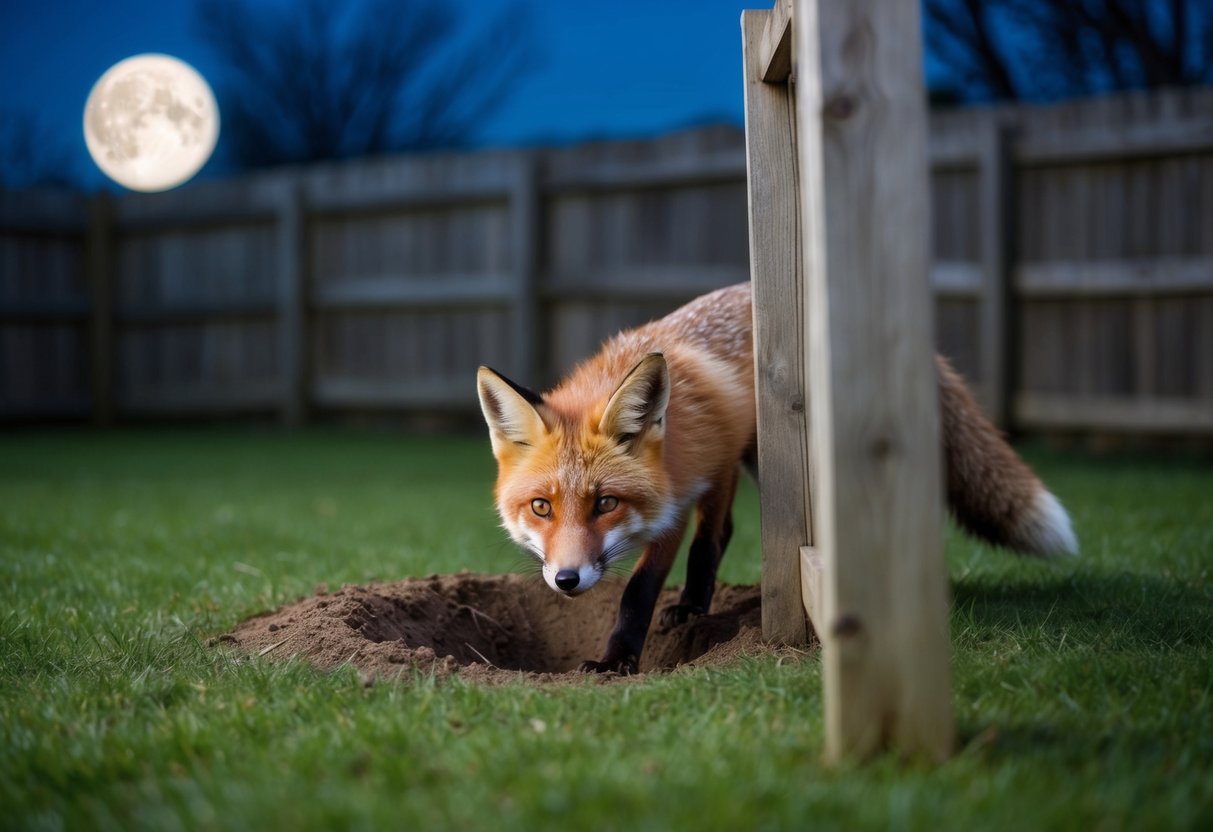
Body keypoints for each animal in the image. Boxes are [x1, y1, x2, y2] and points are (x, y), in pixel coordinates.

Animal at [476, 282, 1078, 674]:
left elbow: (643, 587)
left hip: (754, 460)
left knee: (716, 535)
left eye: (606, 504)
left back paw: (693, 604)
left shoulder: (682, 498)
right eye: (541, 507)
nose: (567, 580)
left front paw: (619, 658)